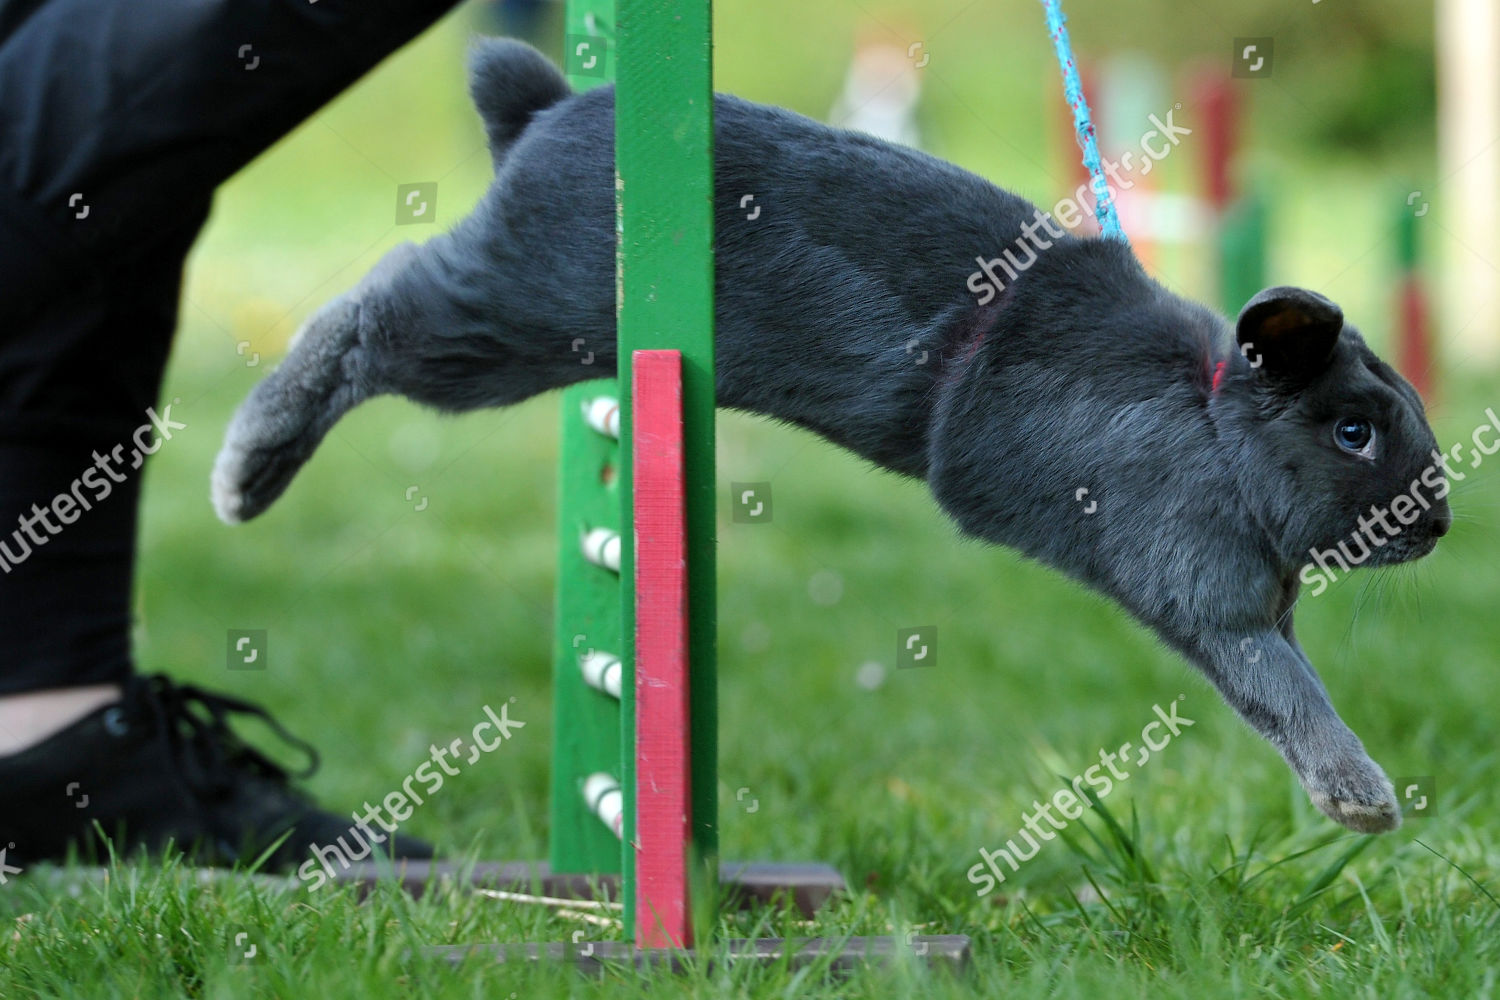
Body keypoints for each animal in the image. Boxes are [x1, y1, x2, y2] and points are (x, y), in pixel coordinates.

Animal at [213, 38, 1451, 834]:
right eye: (1354, 431)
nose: (1437, 525)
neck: (1212, 419)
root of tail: (546, 110)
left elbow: (1269, 693)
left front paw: (1351, 803)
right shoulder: (1207, 589)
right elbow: (1287, 687)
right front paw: (1366, 802)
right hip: (521, 311)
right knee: (372, 311)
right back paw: (244, 473)